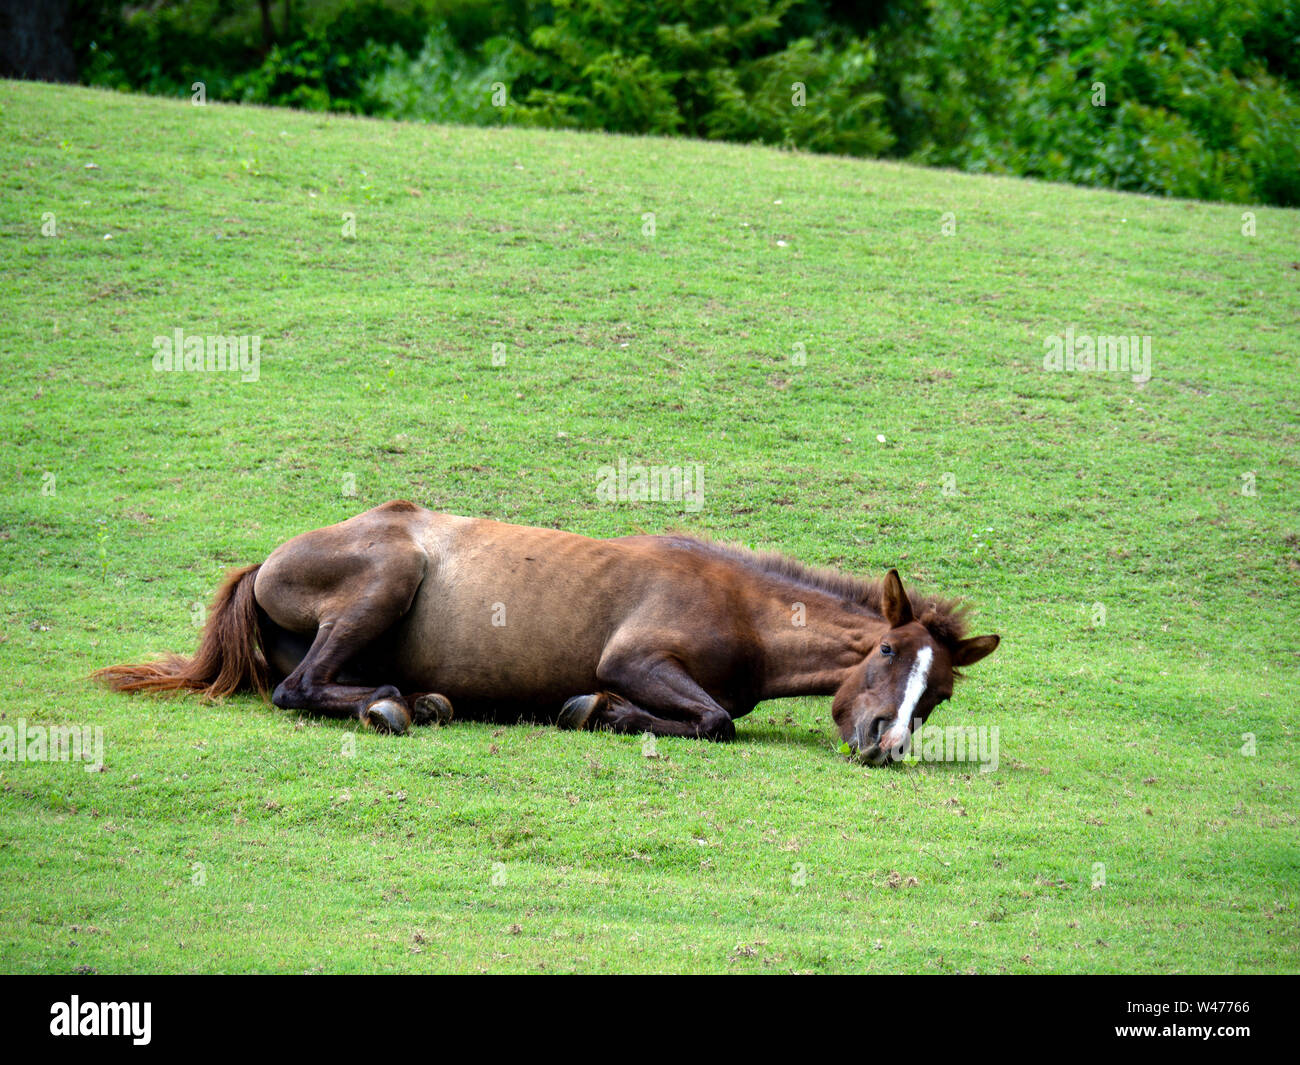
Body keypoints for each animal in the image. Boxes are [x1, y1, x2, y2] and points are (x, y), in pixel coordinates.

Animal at [95, 500, 1000, 765]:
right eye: (886, 649)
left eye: (940, 694)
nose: (887, 740)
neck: (743, 607)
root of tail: (266, 562)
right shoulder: (634, 656)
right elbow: (715, 720)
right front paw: (596, 710)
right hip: (386, 580)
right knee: (299, 688)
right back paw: (392, 705)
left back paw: (422, 700)